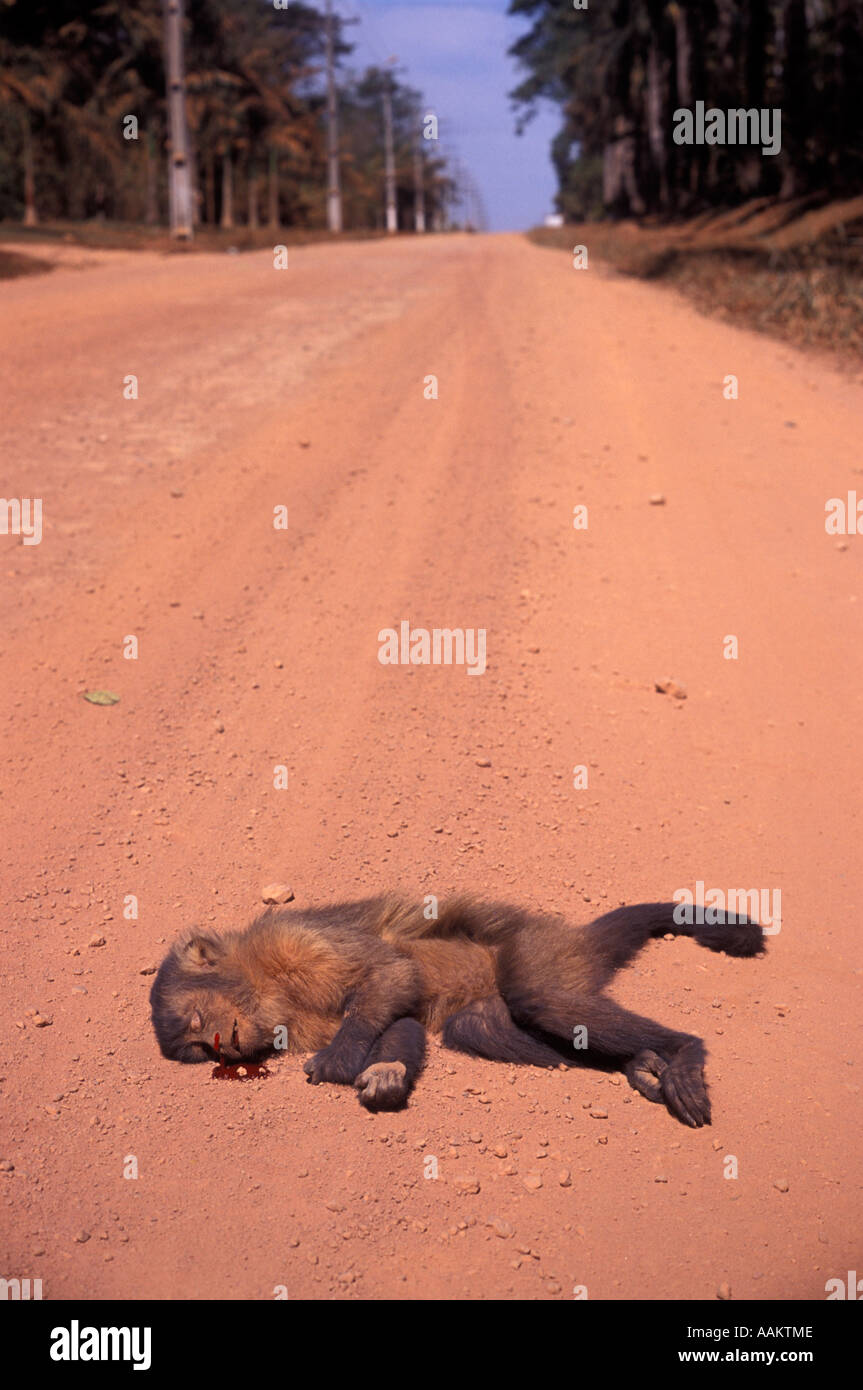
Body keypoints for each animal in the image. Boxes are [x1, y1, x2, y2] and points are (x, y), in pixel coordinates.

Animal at [149, 896, 764, 1124]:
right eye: (198, 1049)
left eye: (199, 1025)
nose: (223, 1049)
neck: (265, 983)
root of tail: (574, 938)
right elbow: (398, 1018)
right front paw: (386, 1076)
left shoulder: (292, 937)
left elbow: (393, 973)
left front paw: (342, 1064)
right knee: (477, 1026)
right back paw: (643, 1062)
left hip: (544, 953)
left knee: (537, 996)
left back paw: (684, 1052)